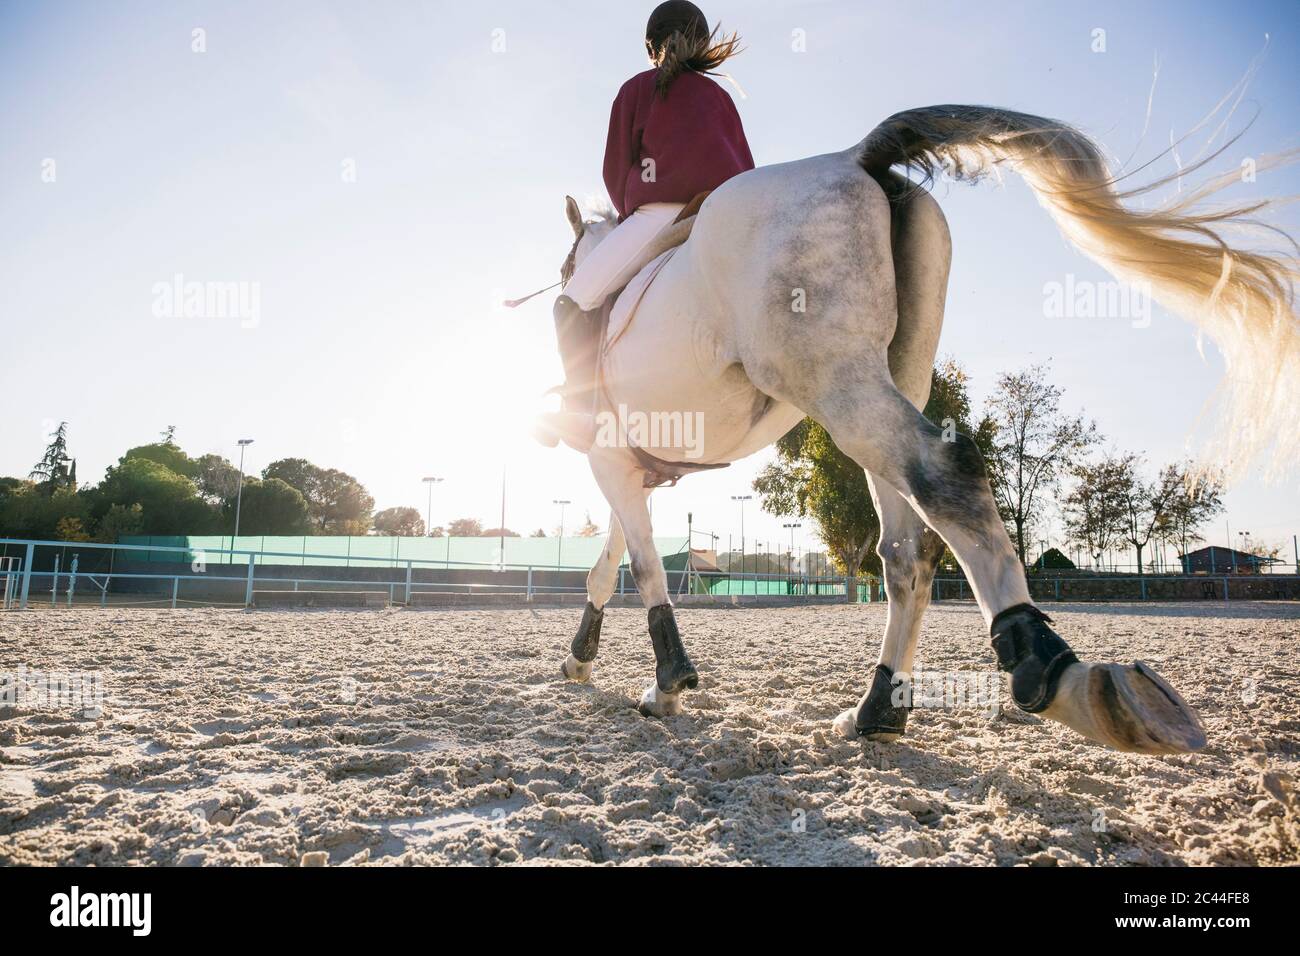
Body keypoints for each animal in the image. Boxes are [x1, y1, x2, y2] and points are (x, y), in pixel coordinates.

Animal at [550, 104, 1299, 755]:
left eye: (564, 267)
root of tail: (855, 158)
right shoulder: (629, 470)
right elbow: (611, 562)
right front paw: (584, 658)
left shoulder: (609, 462)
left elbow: (641, 564)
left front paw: (666, 684)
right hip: (885, 386)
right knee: (908, 548)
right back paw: (879, 708)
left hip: (837, 384)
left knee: (945, 482)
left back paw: (1050, 675)